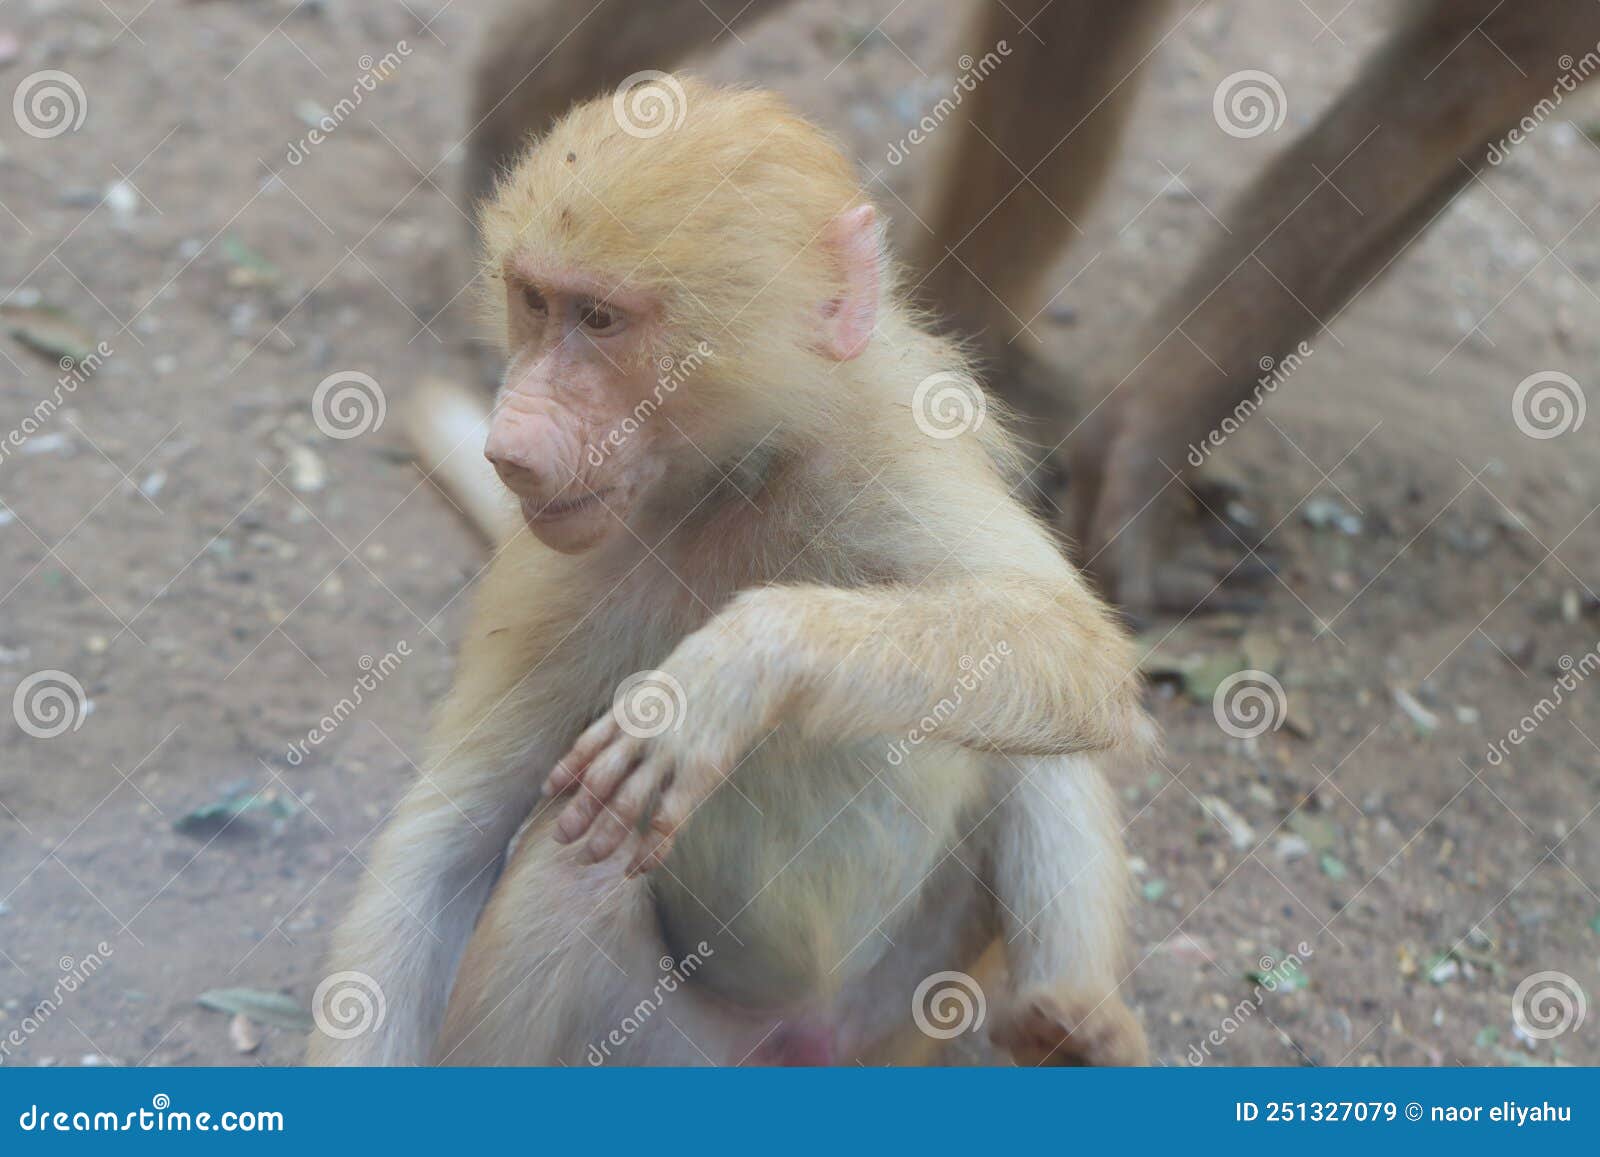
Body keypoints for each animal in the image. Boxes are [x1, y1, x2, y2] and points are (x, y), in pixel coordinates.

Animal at [308, 80, 1153, 1066]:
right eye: (534, 301)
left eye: (599, 319)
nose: (509, 447)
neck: (733, 483)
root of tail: (816, 1043)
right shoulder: (559, 574)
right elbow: (441, 857)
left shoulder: (891, 458)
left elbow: (1074, 647)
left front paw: (732, 674)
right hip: (696, 1043)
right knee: (576, 863)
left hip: (911, 1003)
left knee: (1030, 739)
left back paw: (1068, 1021)